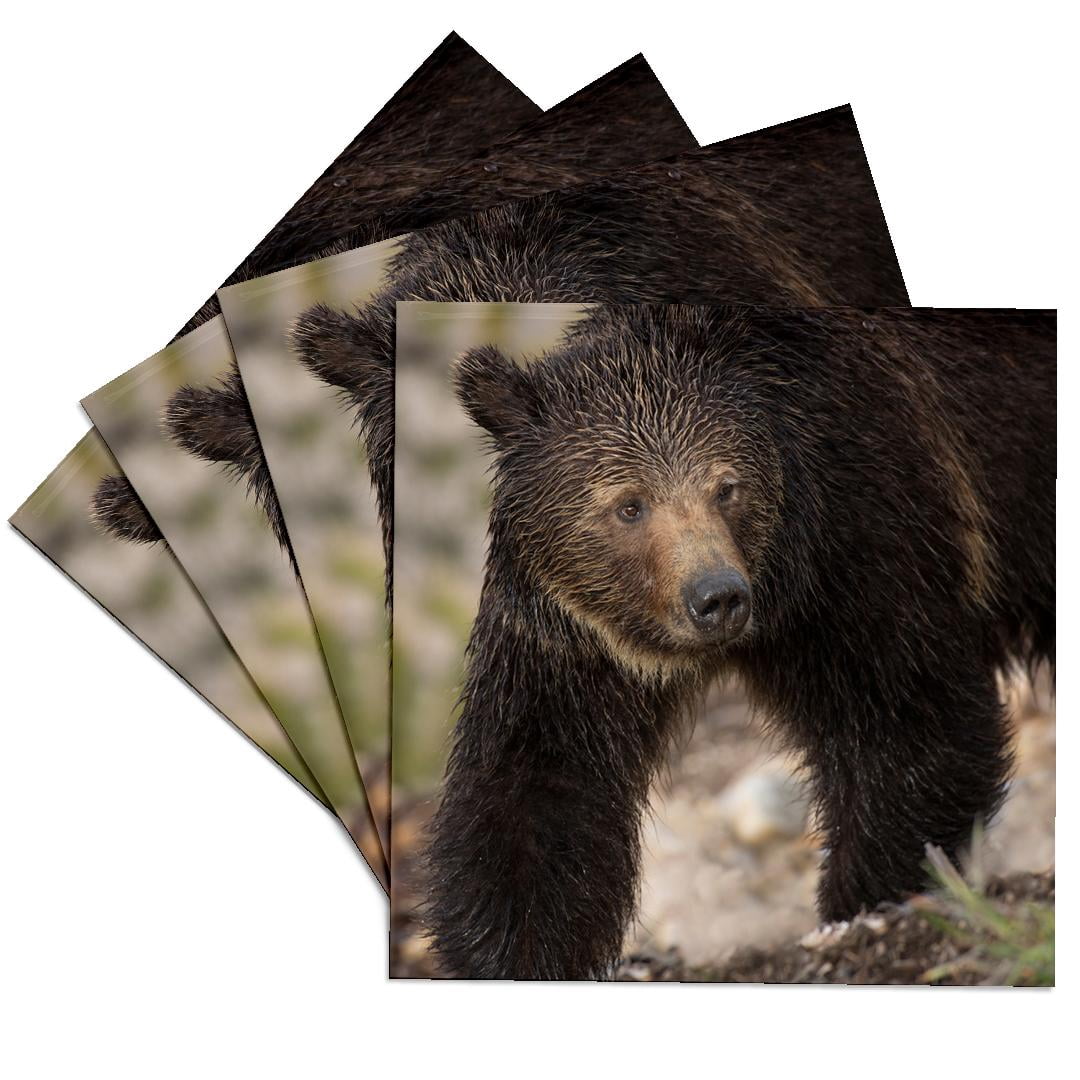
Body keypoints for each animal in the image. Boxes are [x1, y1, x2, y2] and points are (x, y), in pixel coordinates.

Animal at [420, 304, 1055, 980]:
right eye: (629, 505)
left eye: (725, 486)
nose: (717, 596)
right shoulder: (576, 635)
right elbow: (539, 785)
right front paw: (515, 948)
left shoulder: (861, 539)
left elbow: (906, 722)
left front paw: (859, 901)